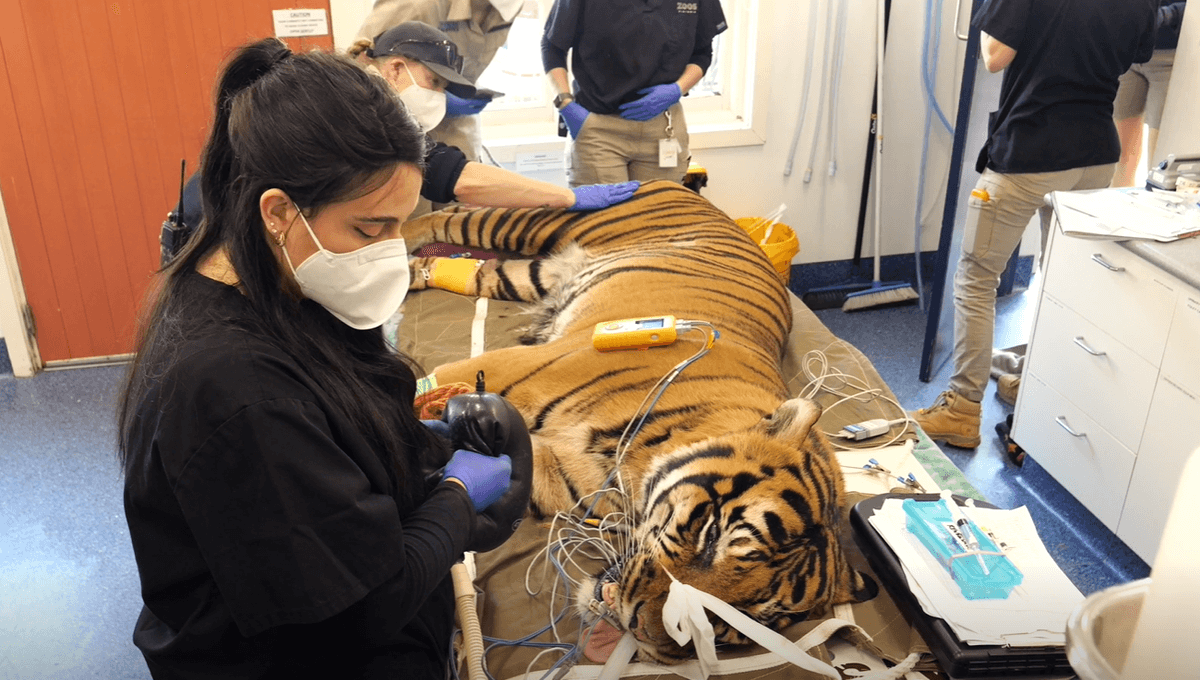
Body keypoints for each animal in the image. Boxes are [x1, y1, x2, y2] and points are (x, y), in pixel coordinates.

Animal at [402, 180, 876, 663]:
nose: (641, 629)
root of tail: (681, 187)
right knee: (450, 213)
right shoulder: (502, 368)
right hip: (539, 220)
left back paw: (406, 271)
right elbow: (419, 394)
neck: (627, 473)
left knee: (471, 266)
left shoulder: (544, 471)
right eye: (712, 538)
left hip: (529, 273)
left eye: (744, 619)